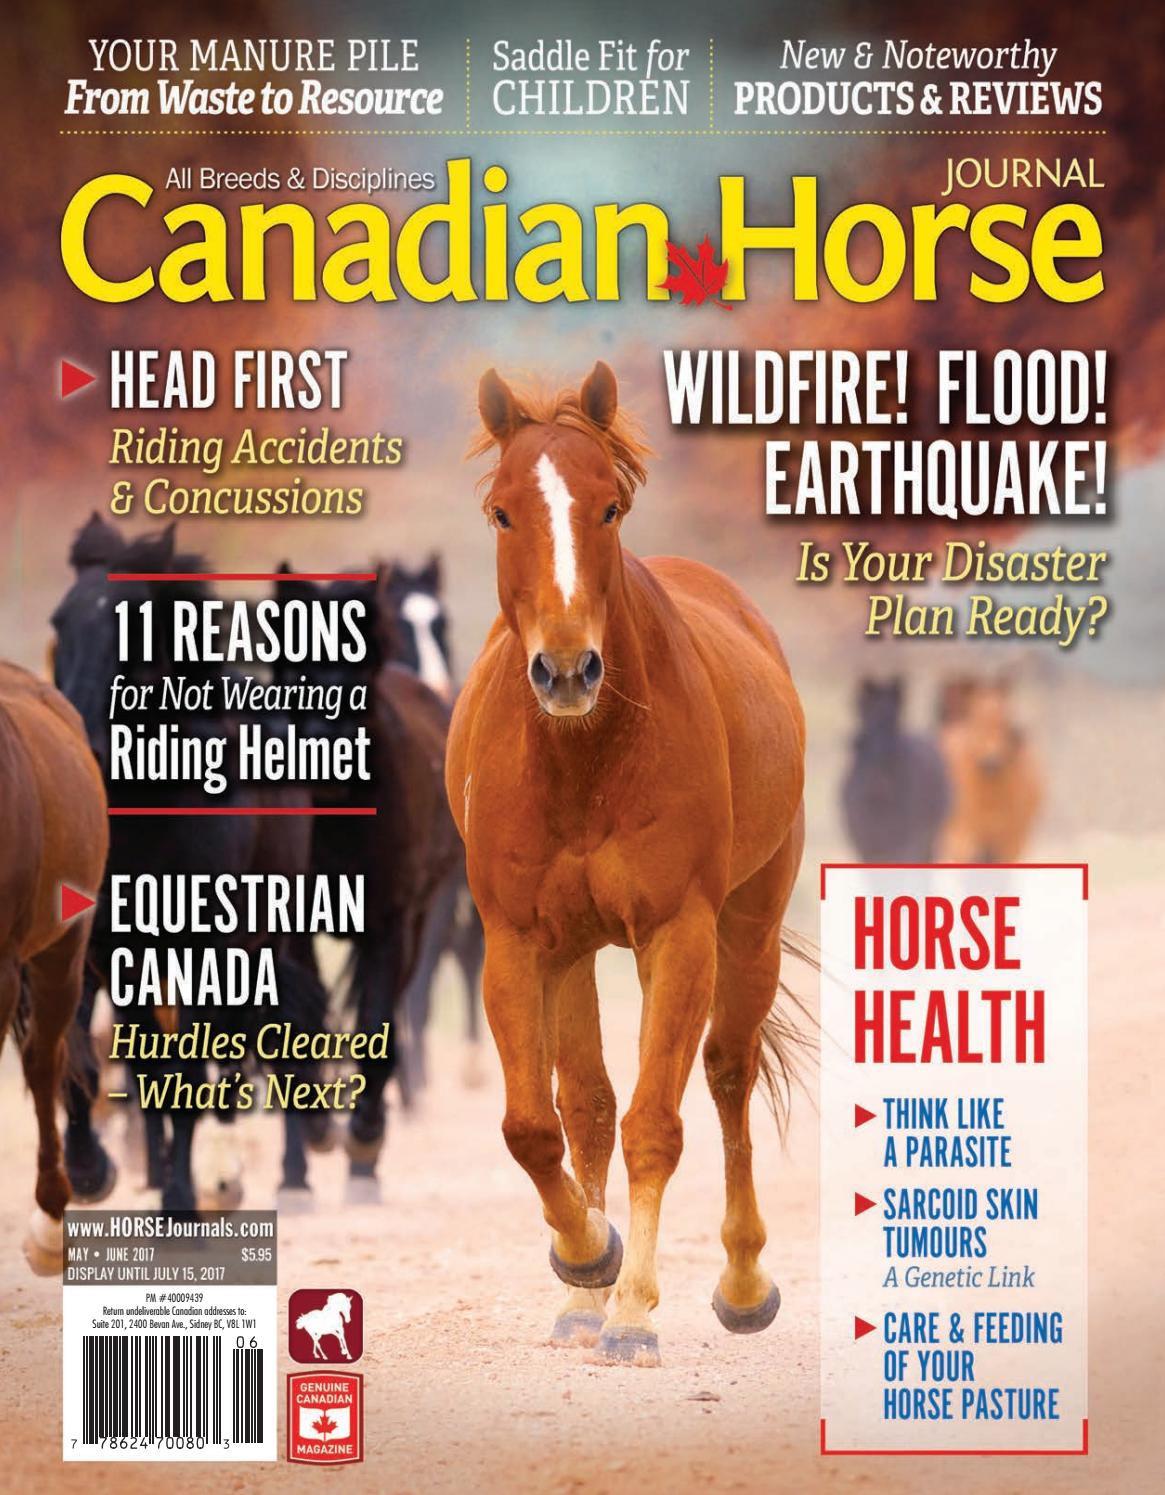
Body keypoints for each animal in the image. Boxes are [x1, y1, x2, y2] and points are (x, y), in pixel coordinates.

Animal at [51, 516, 331, 1212]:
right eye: (59, 622)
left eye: (133, 628)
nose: (87, 749)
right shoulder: (106, 948)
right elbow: (100, 1057)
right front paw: (92, 1171)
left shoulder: (209, 945)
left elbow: (190, 1067)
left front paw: (183, 1197)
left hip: (264, 937)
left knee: (269, 1030)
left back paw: (256, 1175)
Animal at [272, 566, 461, 1200]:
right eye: (292, 671)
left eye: (357, 669)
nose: (321, 745)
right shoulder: (290, 929)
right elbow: (294, 1032)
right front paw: (303, 1157)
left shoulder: (389, 924)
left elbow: (378, 1026)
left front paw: (362, 1143)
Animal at [446, 362, 806, 1367]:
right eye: (501, 511)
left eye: (608, 506)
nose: (567, 669)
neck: (584, 761)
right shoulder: (517, 941)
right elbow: (537, 1124)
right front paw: (586, 1259)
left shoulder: (678, 934)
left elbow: (657, 1121)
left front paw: (636, 1307)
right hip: (574, 954)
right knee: (588, 1105)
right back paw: (582, 1293)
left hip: (748, 930)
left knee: (724, 1073)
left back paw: (741, 1282)